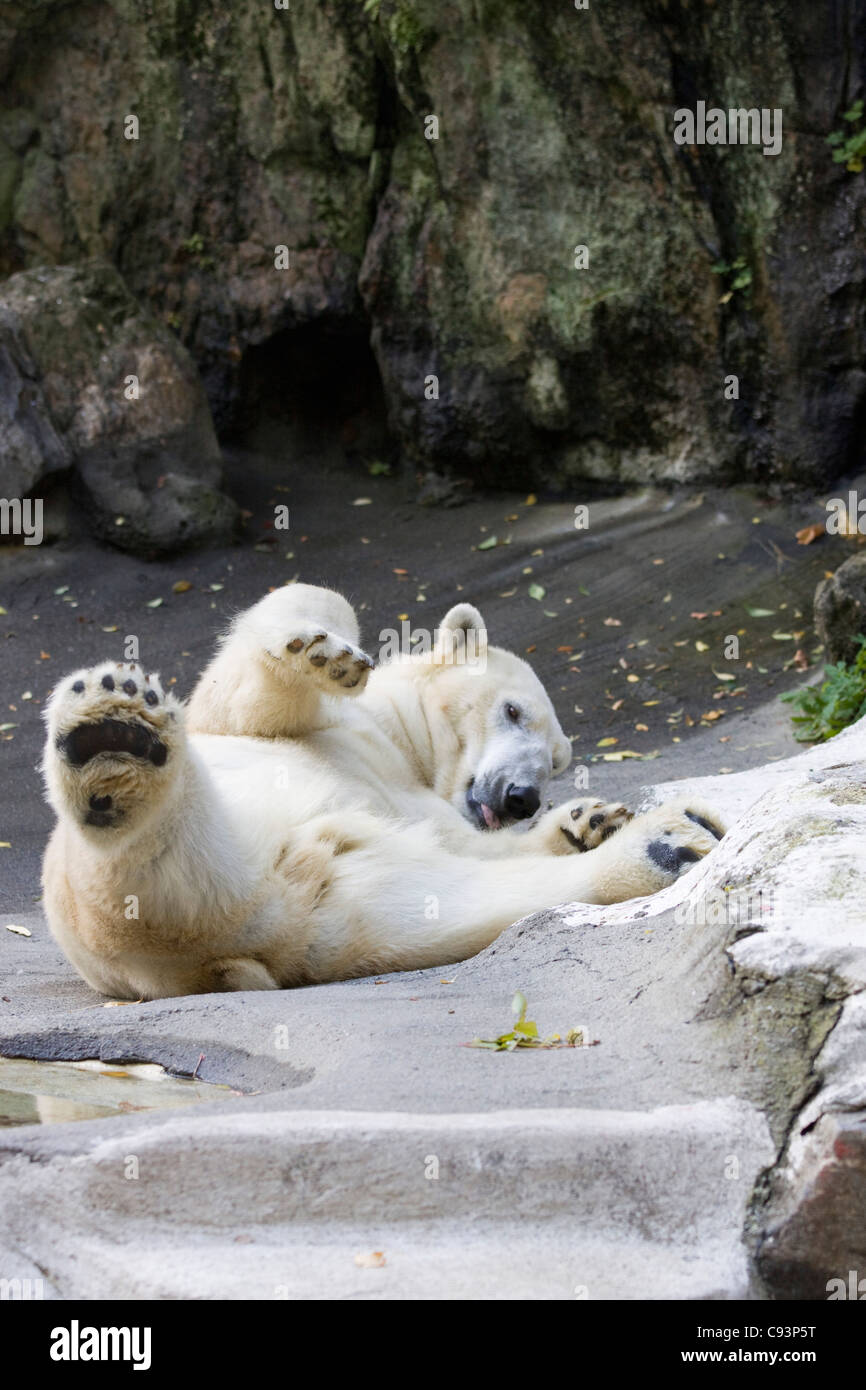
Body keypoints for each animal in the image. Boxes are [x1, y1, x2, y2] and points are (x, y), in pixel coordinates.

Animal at [40, 582, 724, 1000]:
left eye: (556, 763)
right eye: (512, 711)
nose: (522, 798)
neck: (398, 739)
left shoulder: (409, 796)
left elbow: (475, 847)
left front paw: (590, 817)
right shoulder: (311, 736)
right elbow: (242, 706)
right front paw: (323, 651)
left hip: (315, 898)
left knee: (460, 896)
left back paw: (670, 841)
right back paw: (113, 742)